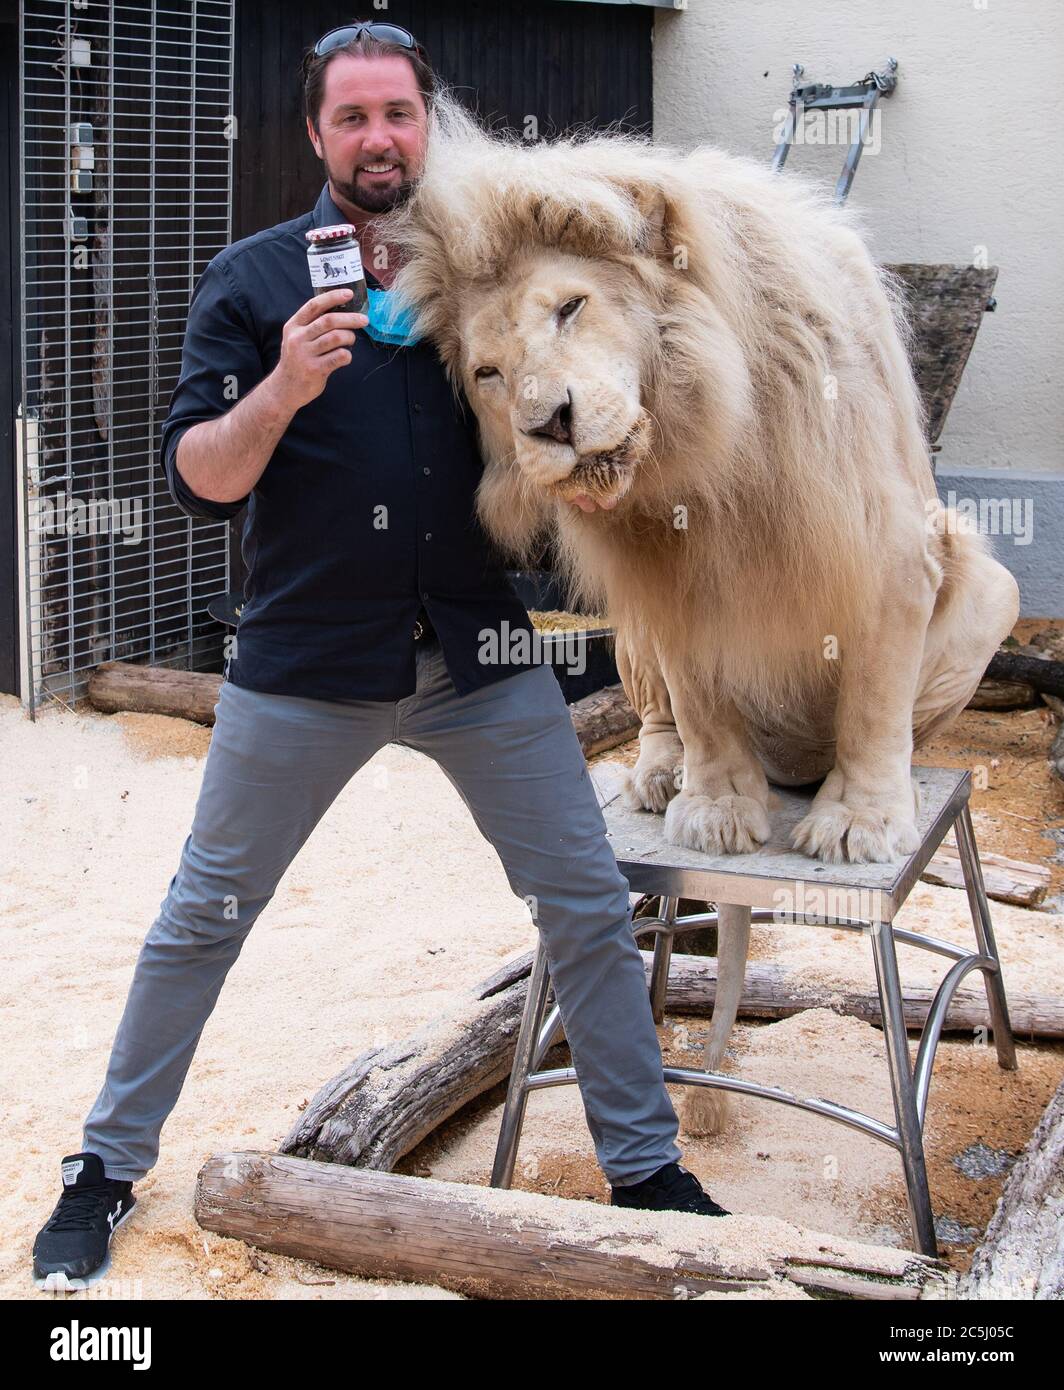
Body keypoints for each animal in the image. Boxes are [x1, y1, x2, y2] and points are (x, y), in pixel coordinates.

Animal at [382, 92, 1020, 1133]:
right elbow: (708, 709)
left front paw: (858, 824)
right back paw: (660, 775)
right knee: (662, 716)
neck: (704, 435)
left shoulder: (886, 549)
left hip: (988, 588)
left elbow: (873, 704)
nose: (549, 422)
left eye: (571, 305)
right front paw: (715, 812)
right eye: (487, 373)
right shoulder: (666, 583)